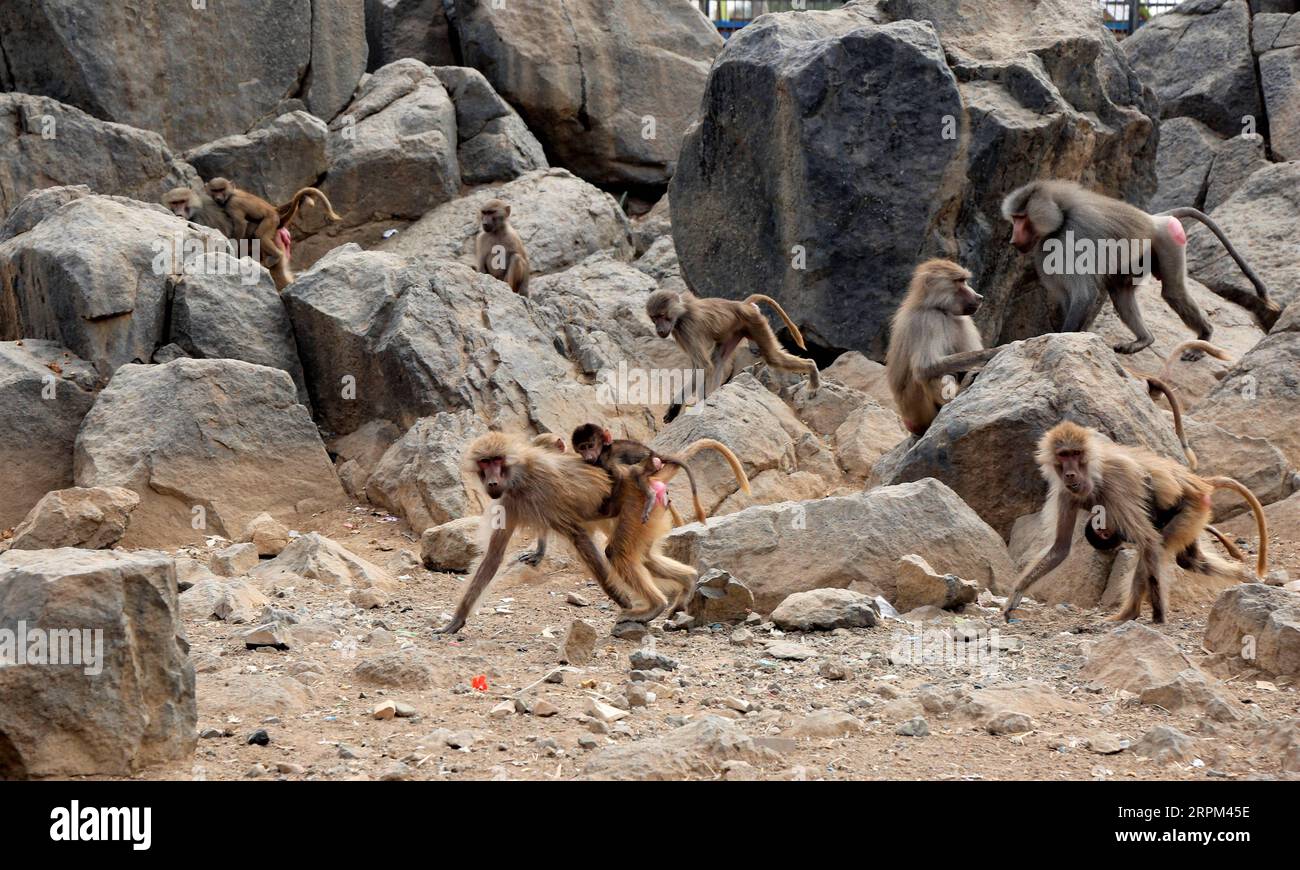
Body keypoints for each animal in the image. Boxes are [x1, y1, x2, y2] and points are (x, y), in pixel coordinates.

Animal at [646, 287, 819, 423]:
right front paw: (681, 406)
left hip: (755, 322)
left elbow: (704, 366)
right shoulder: (679, 332)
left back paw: (812, 373)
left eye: (662, 315)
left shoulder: (688, 329)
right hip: (734, 331)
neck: (681, 313)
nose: (659, 330)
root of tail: (741, 304)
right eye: (654, 318)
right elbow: (702, 366)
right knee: (719, 359)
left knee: (773, 357)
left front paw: (687, 406)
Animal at [885, 259, 1006, 435]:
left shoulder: (962, 320)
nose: (979, 297)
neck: (938, 309)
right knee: (930, 374)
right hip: (917, 411)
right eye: (959, 281)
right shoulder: (929, 320)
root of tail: (909, 423)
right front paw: (995, 351)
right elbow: (925, 367)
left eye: (964, 280)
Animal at [1002, 180, 1280, 358]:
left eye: (1022, 219)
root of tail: (1154, 218)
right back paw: (1144, 340)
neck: (1060, 217)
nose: (1013, 240)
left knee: (1173, 292)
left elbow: (1084, 295)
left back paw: (1204, 337)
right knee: (1121, 294)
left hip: (1168, 240)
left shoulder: (1073, 237)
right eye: (1015, 219)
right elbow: (1068, 297)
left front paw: (1065, 339)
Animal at [1003, 421, 1268, 624]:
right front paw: (1017, 592)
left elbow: (1148, 540)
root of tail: (1199, 482)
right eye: (1063, 455)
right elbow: (1060, 548)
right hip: (1196, 515)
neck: (1093, 477)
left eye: (1075, 454)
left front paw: (1159, 618)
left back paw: (1131, 613)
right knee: (1189, 560)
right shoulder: (1065, 494)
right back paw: (1245, 577)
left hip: (1191, 508)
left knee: (1152, 549)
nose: (1069, 473)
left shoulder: (1117, 485)